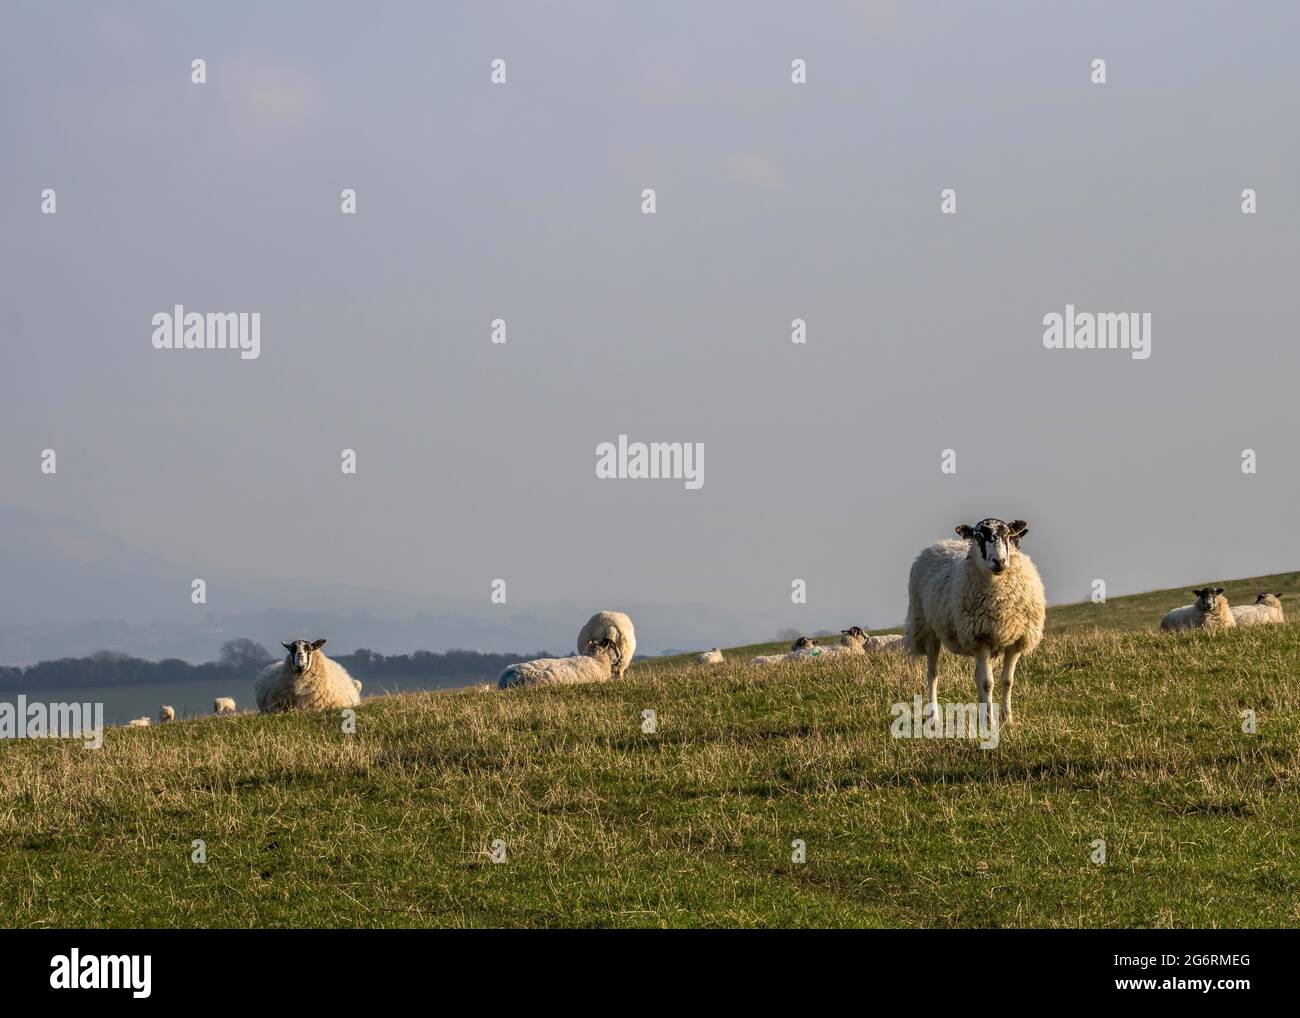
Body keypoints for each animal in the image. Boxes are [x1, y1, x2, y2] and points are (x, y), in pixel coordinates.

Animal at [905, 517, 1046, 726]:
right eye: (978, 537)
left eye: (1008, 534)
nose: (999, 561)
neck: (1000, 598)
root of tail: (936, 545)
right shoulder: (981, 639)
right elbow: (988, 683)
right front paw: (990, 722)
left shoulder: (1016, 640)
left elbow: (1007, 681)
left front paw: (1006, 719)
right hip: (927, 629)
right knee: (932, 675)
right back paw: (934, 716)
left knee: (976, 676)